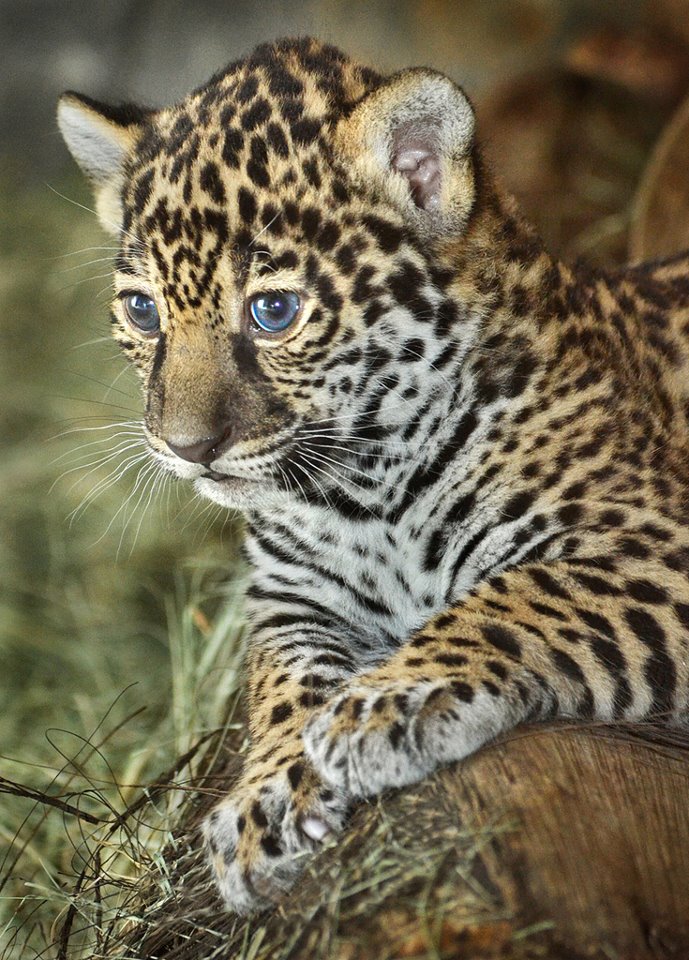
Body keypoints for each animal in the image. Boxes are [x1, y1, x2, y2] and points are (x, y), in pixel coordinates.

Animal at [57, 36, 689, 915]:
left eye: (274, 312)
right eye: (143, 312)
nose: (186, 447)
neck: (365, 489)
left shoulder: (650, 546)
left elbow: (520, 594)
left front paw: (386, 703)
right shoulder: (293, 600)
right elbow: (279, 684)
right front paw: (266, 797)